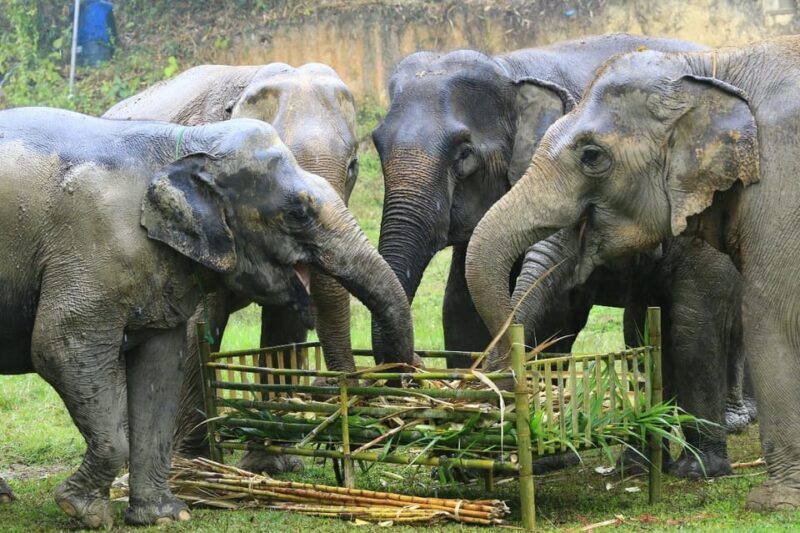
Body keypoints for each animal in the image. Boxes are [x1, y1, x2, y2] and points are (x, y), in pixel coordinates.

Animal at [0, 107, 413, 527]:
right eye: (298, 213)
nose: (396, 410)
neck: (188, 145)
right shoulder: (93, 246)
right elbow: (59, 347)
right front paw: (83, 511)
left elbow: (160, 367)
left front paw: (165, 516)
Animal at [104, 62, 361, 471]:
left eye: (353, 166)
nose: (329, 389)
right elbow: (197, 324)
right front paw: (193, 463)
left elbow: (284, 328)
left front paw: (272, 463)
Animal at [371, 33, 750, 476]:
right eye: (376, 145)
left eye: (463, 154)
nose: (414, 369)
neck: (508, 68)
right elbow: (459, 307)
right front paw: (463, 459)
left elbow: (558, 315)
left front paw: (543, 454)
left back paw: (736, 422)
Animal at [465, 36, 800, 510]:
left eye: (591, 157)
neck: (713, 67)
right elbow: (640, 334)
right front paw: (636, 467)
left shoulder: (774, 191)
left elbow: (714, 326)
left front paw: (720, 481)